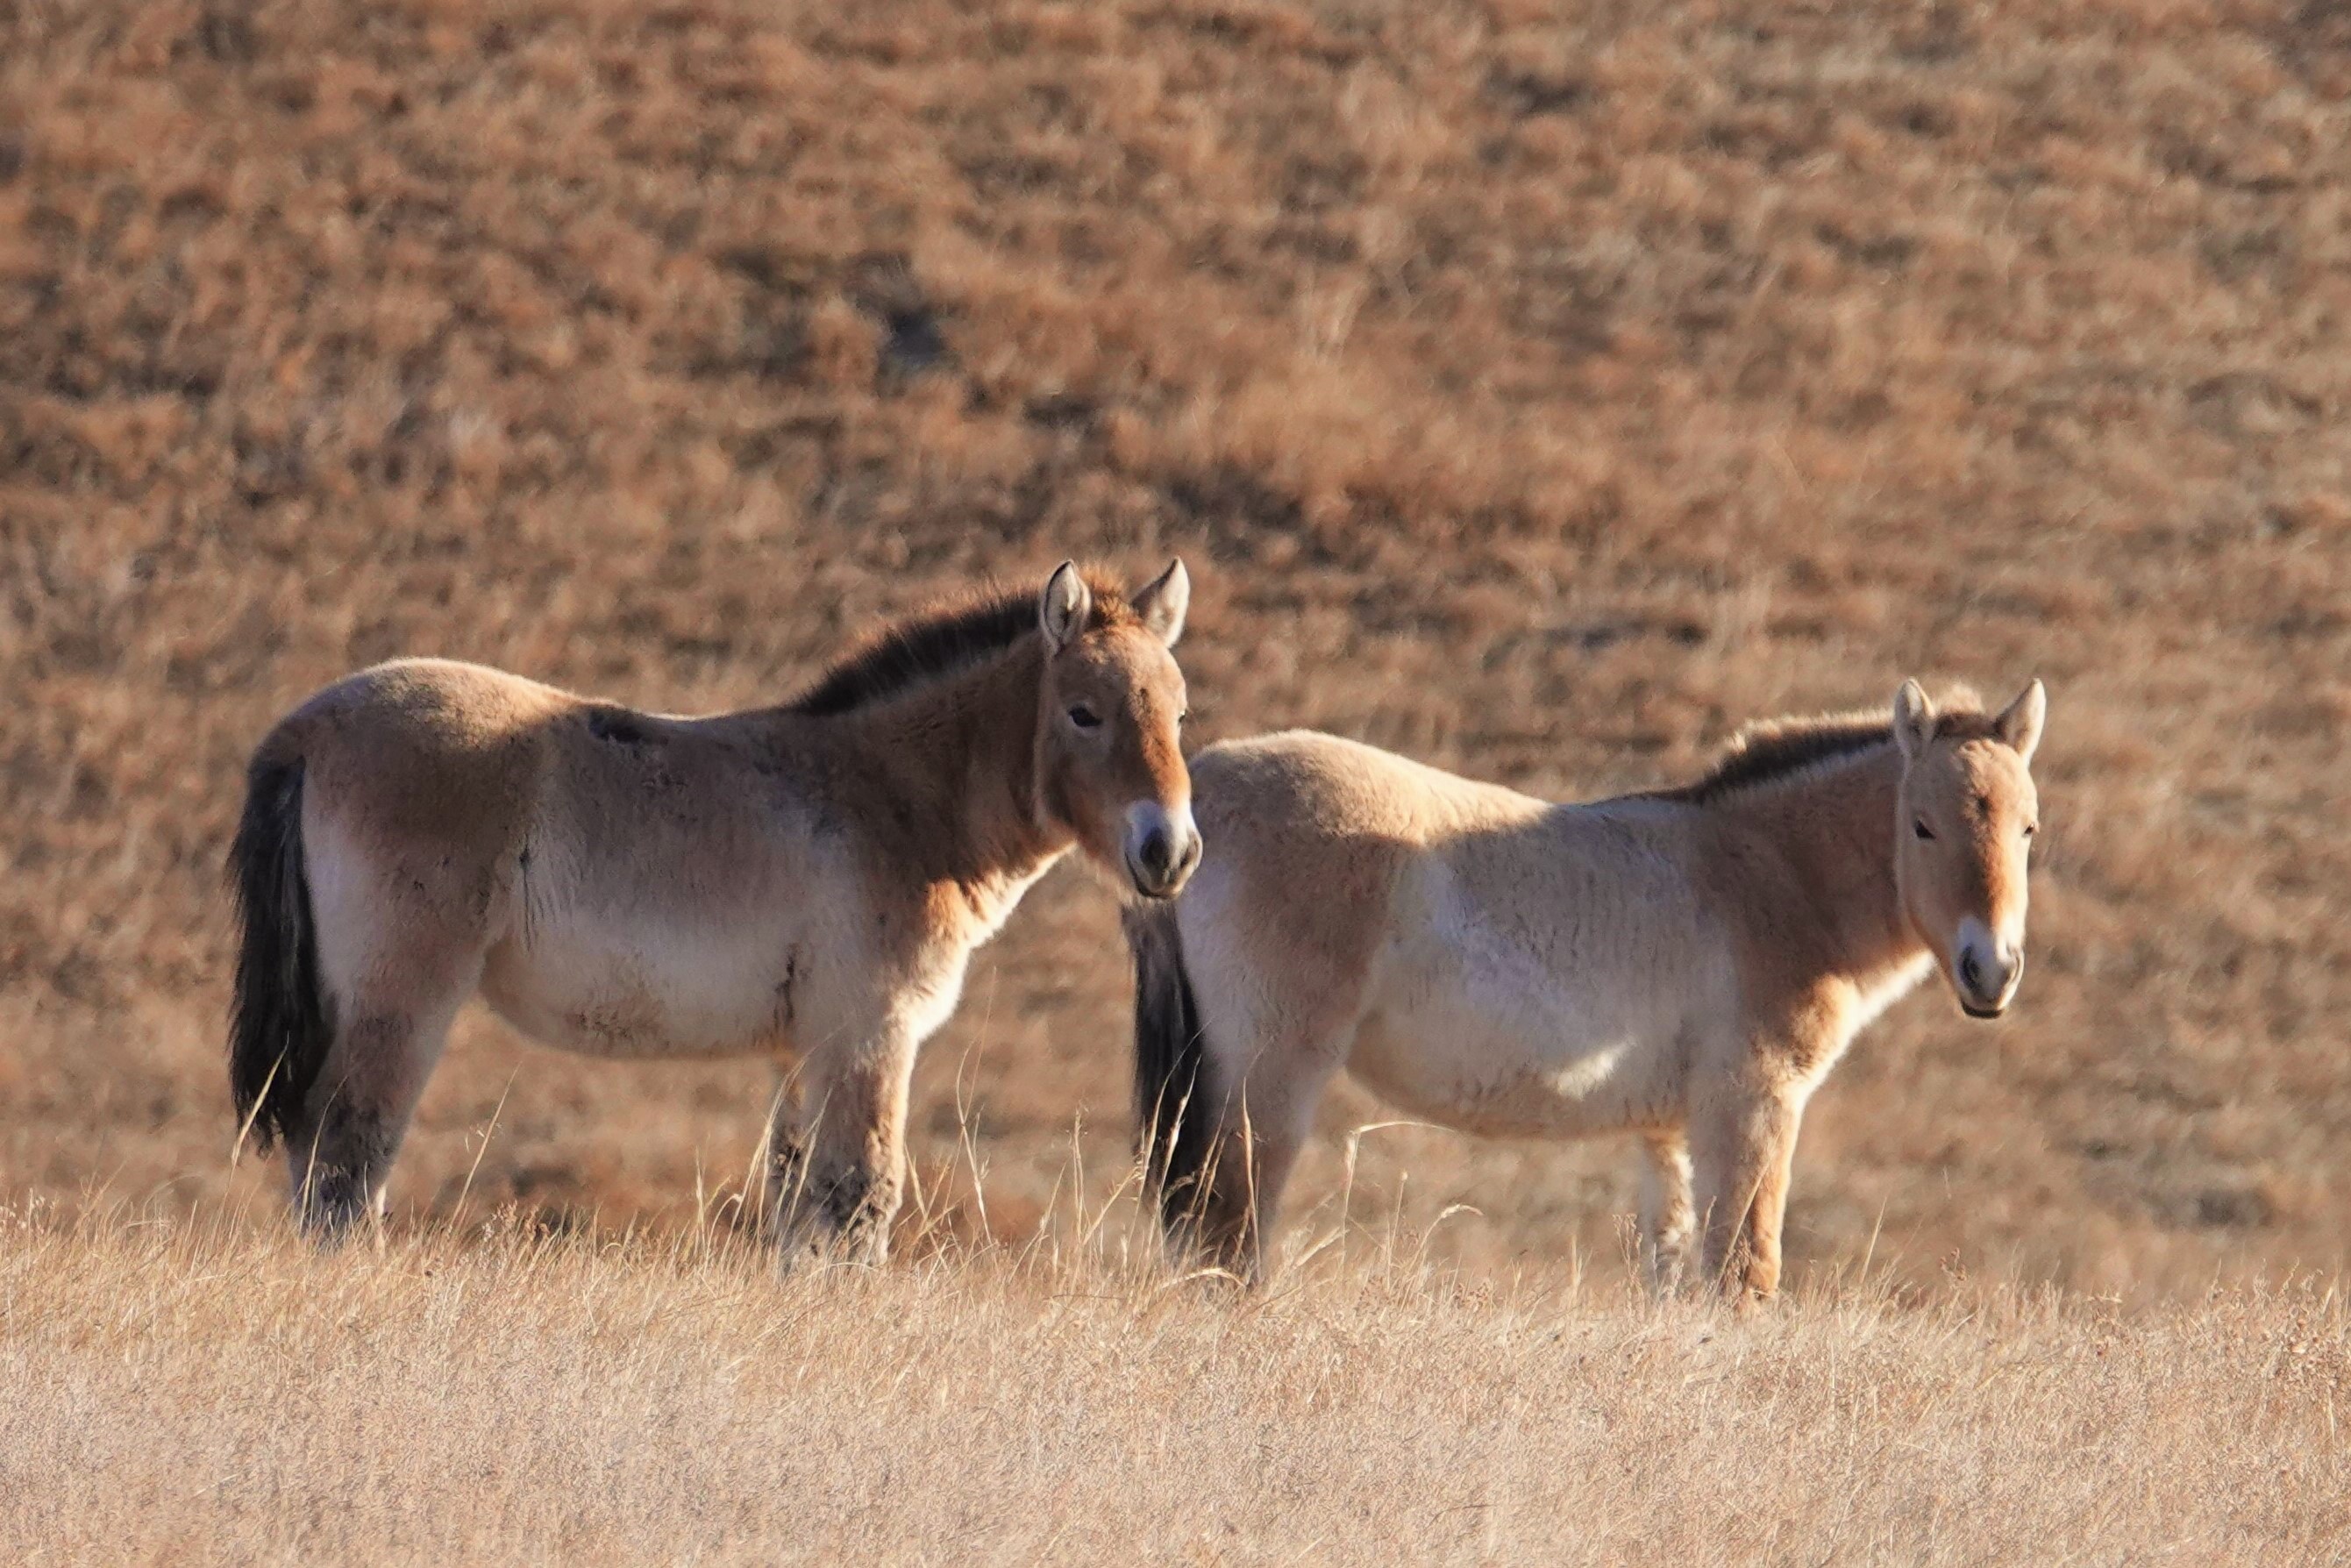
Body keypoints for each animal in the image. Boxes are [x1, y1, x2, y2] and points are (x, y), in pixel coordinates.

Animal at [229, 560, 1199, 1260]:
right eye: (1083, 713)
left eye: (1180, 714)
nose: (1170, 852)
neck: (892, 798)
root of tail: (305, 729)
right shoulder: (870, 1035)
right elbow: (861, 1199)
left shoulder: (803, 1053)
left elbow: (800, 1211)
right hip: (401, 1003)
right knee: (346, 1160)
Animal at [1128, 678, 2045, 1300]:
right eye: (1921, 826)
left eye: (2027, 828)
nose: (1990, 970)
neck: (1770, 874)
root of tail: (1194, 806)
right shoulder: (1753, 1106)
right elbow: (1743, 1275)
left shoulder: (1668, 1134)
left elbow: (1678, 1275)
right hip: (1272, 1076)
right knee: (1228, 1230)